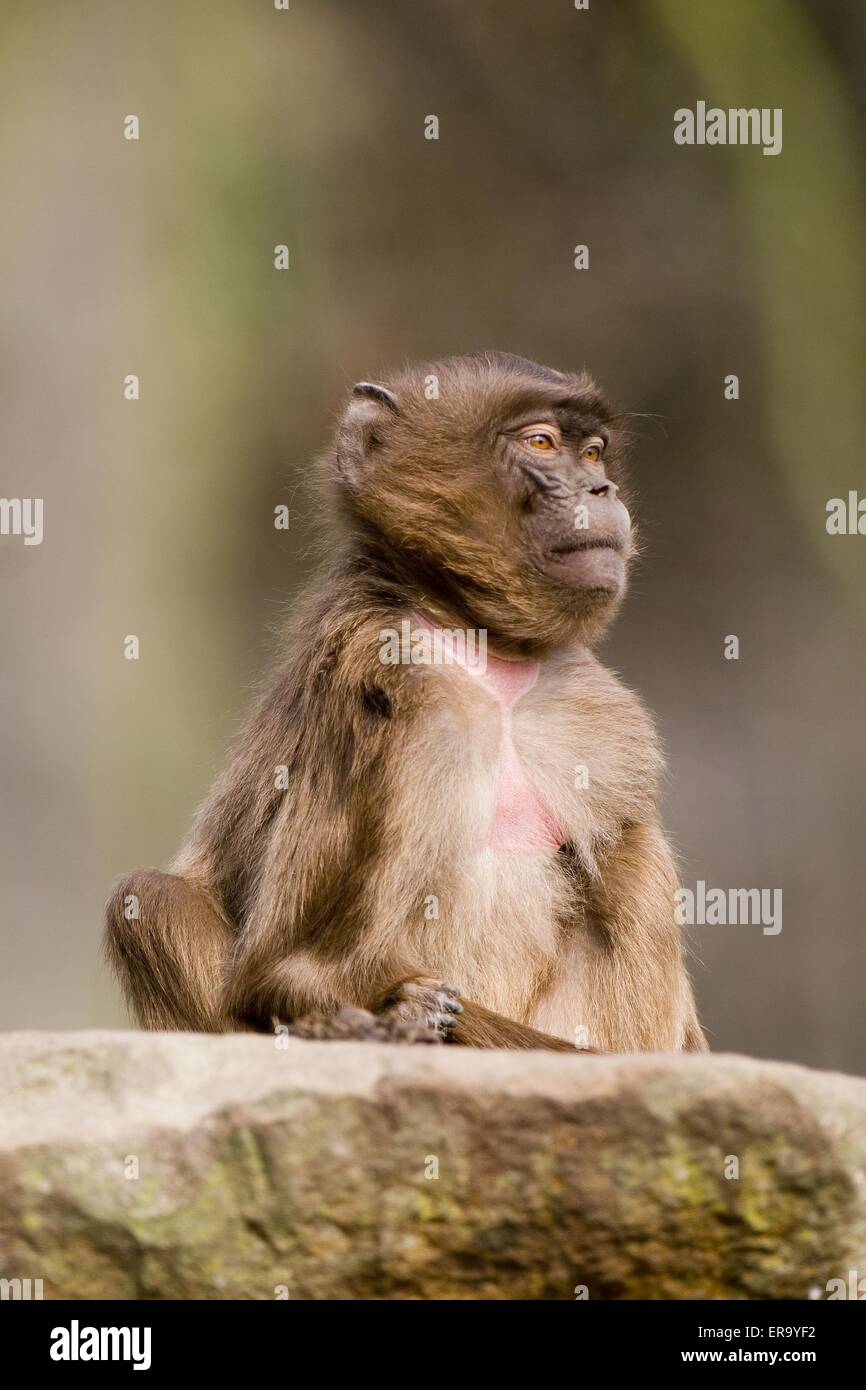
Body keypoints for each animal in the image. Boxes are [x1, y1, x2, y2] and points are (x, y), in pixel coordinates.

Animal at [105, 351, 707, 1054]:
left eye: (592, 453)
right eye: (541, 444)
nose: (601, 491)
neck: (477, 646)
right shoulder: (382, 684)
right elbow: (279, 975)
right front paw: (396, 1012)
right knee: (147, 903)